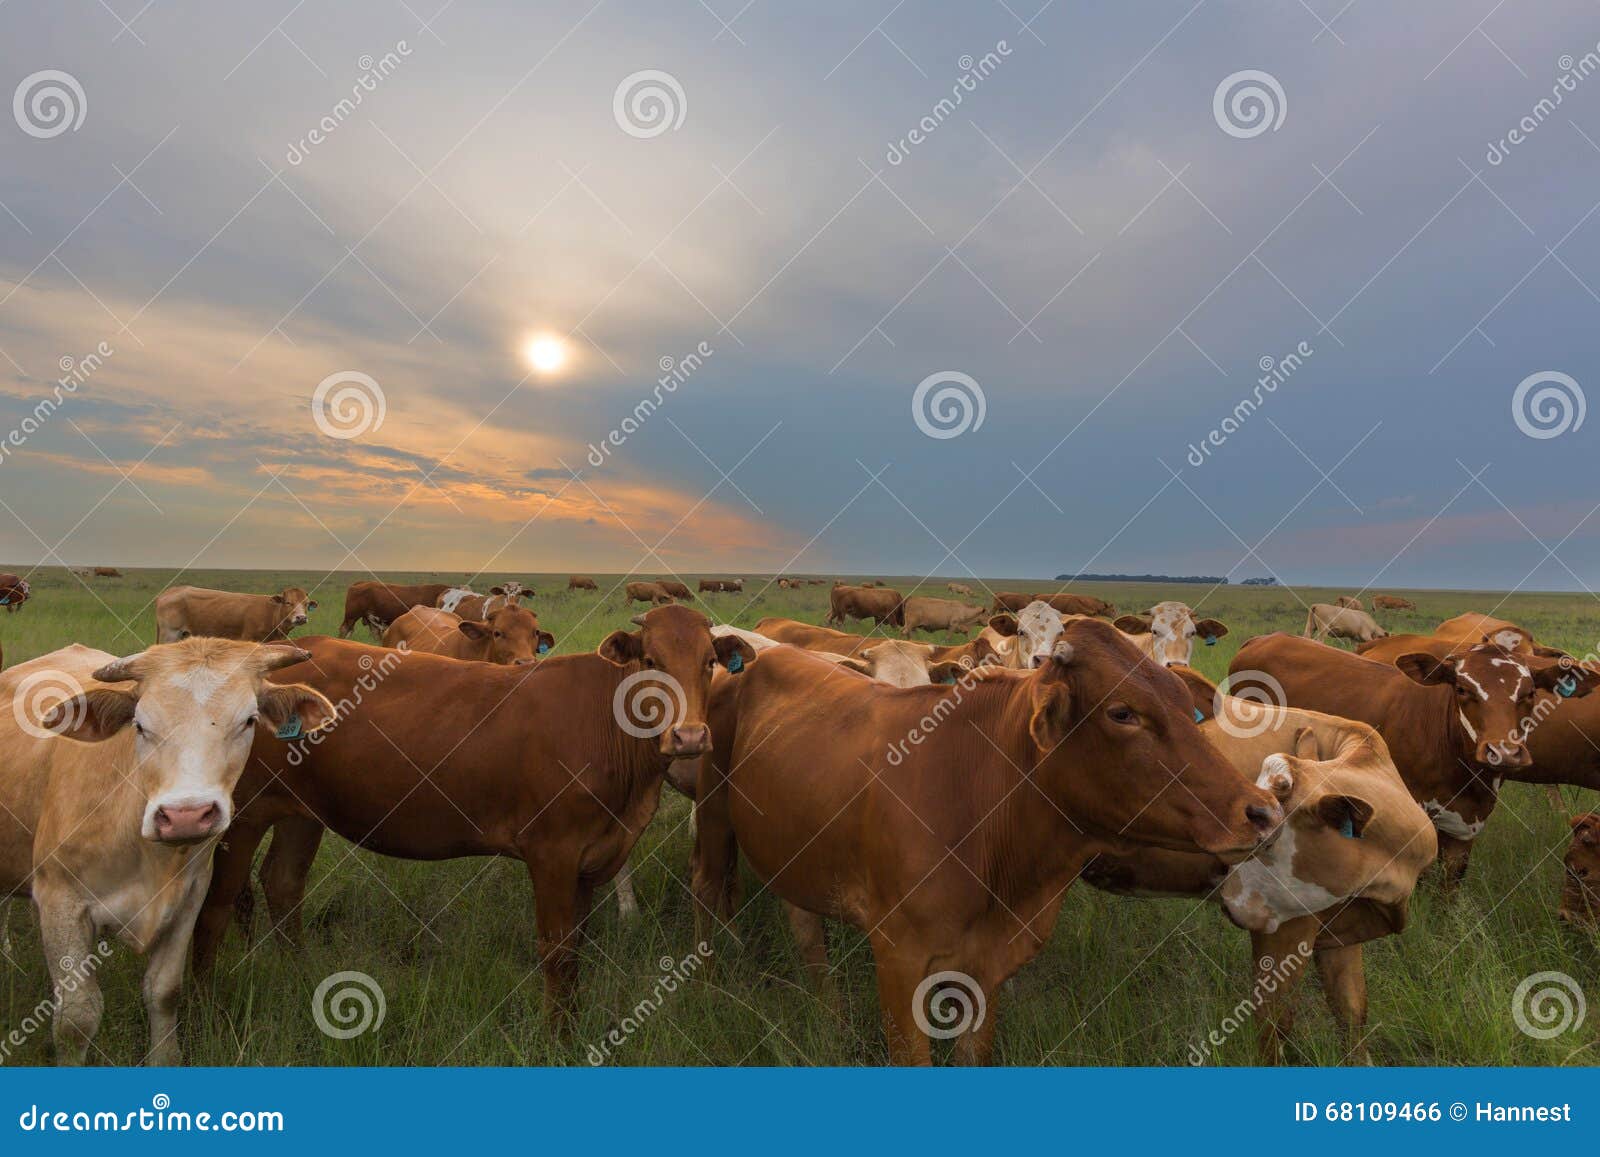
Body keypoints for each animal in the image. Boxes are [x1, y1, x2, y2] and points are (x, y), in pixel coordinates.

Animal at [0, 639, 334, 1064]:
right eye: (140, 725)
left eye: (249, 721)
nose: (185, 816)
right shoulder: (60, 902)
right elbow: (76, 1019)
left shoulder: (190, 898)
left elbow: (164, 991)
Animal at [689, 617, 1282, 1064]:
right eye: (1122, 712)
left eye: (1186, 707)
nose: (1262, 811)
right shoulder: (899, 961)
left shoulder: (988, 966)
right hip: (713, 814)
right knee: (707, 888)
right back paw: (710, 985)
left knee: (805, 926)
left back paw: (828, 1010)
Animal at [1083, 666, 1435, 1063]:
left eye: (1268, 834)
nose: (1229, 902)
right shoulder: (1287, 928)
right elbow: (1274, 1027)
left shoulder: (1339, 927)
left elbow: (1352, 1012)